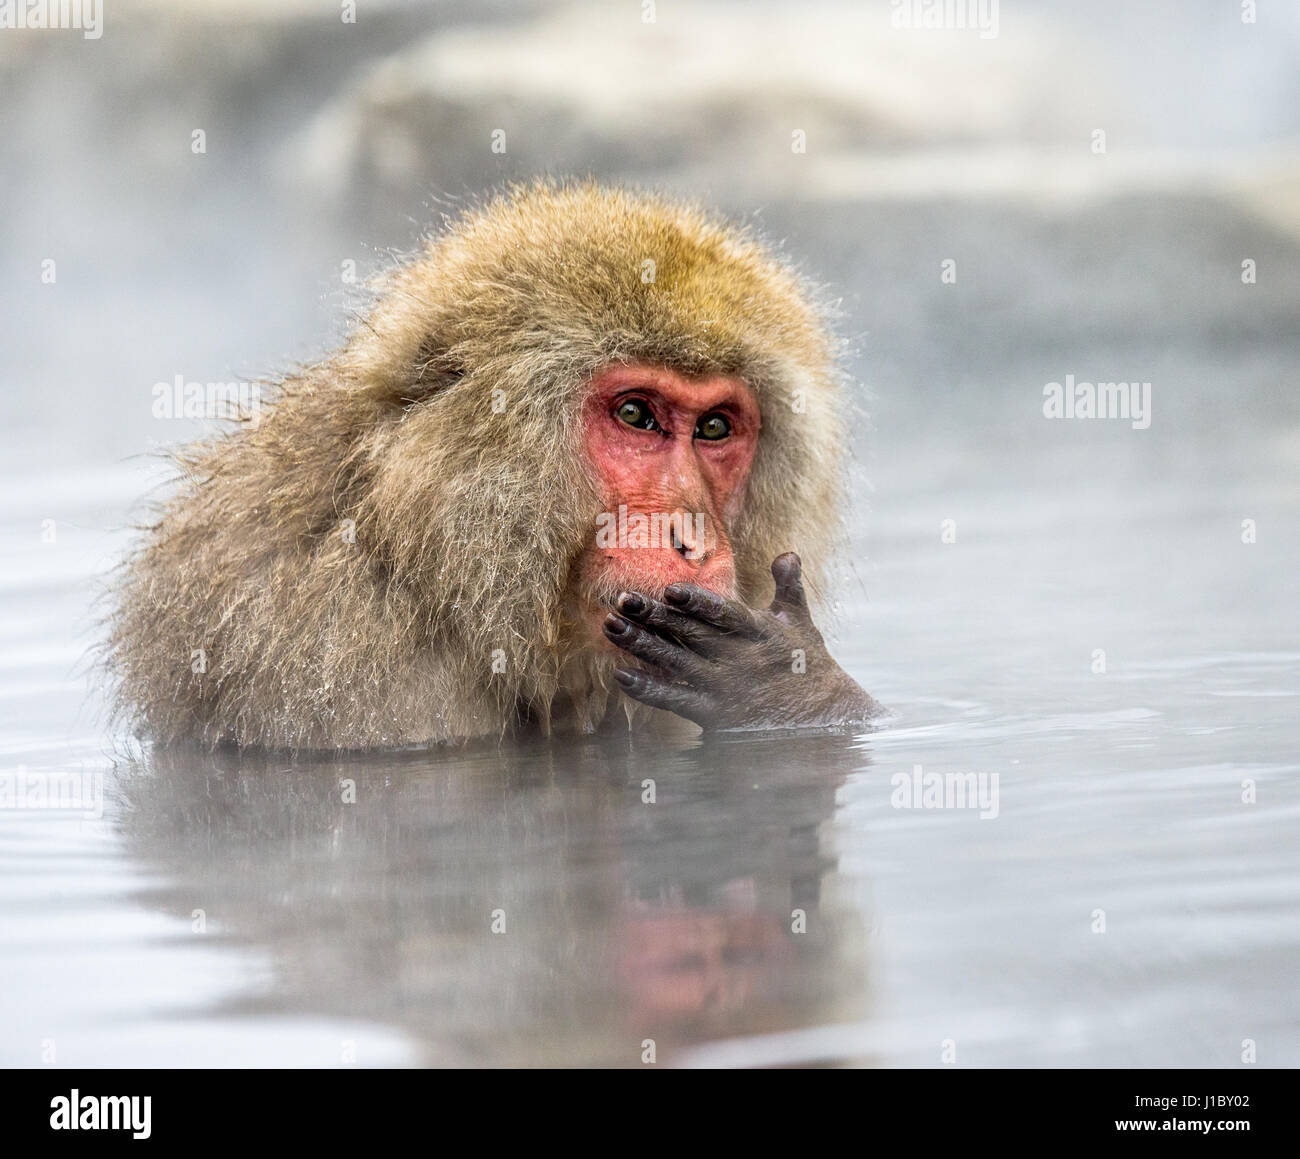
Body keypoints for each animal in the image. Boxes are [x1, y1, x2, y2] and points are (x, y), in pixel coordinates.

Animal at [106, 179, 879, 749]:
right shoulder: (344, 665)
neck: (425, 564)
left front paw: (787, 681)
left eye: (715, 427)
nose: (690, 538)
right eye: (637, 415)